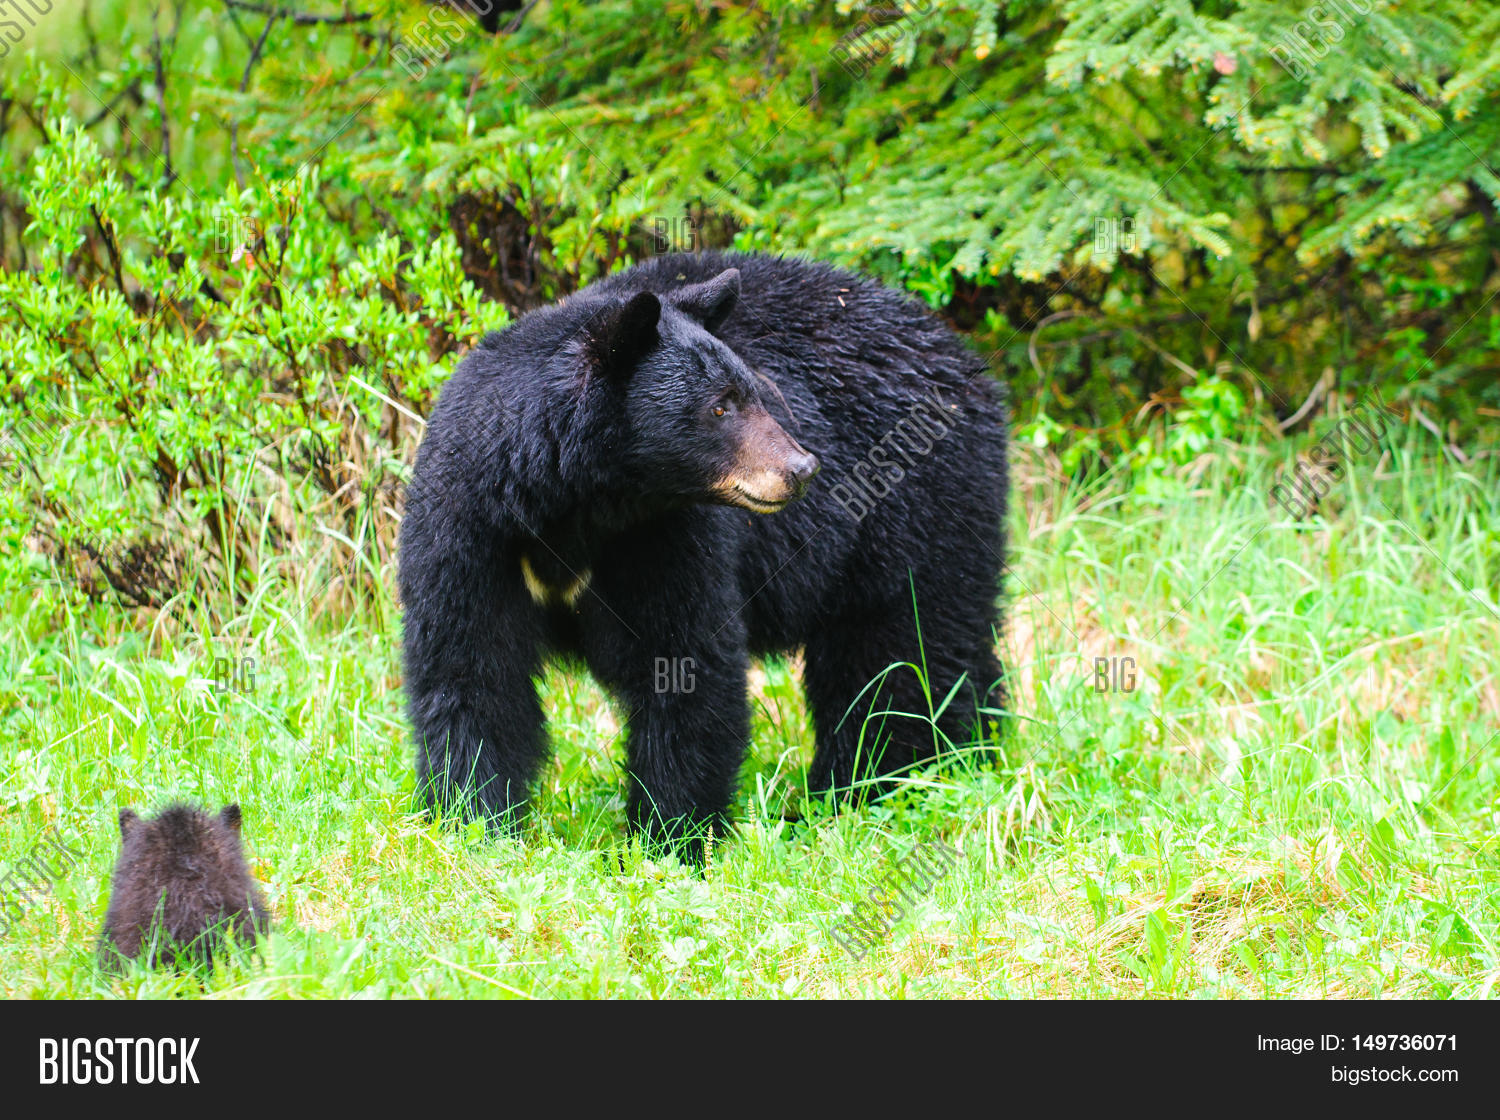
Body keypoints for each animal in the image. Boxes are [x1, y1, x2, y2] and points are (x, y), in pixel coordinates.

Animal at [398, 251, 1007, 860]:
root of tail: (965, 360)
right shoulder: (472, 533)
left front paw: (671, 837)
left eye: (756, 391)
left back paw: (866, 784)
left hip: (915, 510)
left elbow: (684, 660)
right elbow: (471, 668)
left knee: (898, 656)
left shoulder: (665, 537)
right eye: (719, 407)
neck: (574, 504)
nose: (802, 468)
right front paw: (477, 824)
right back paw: (973, 751)